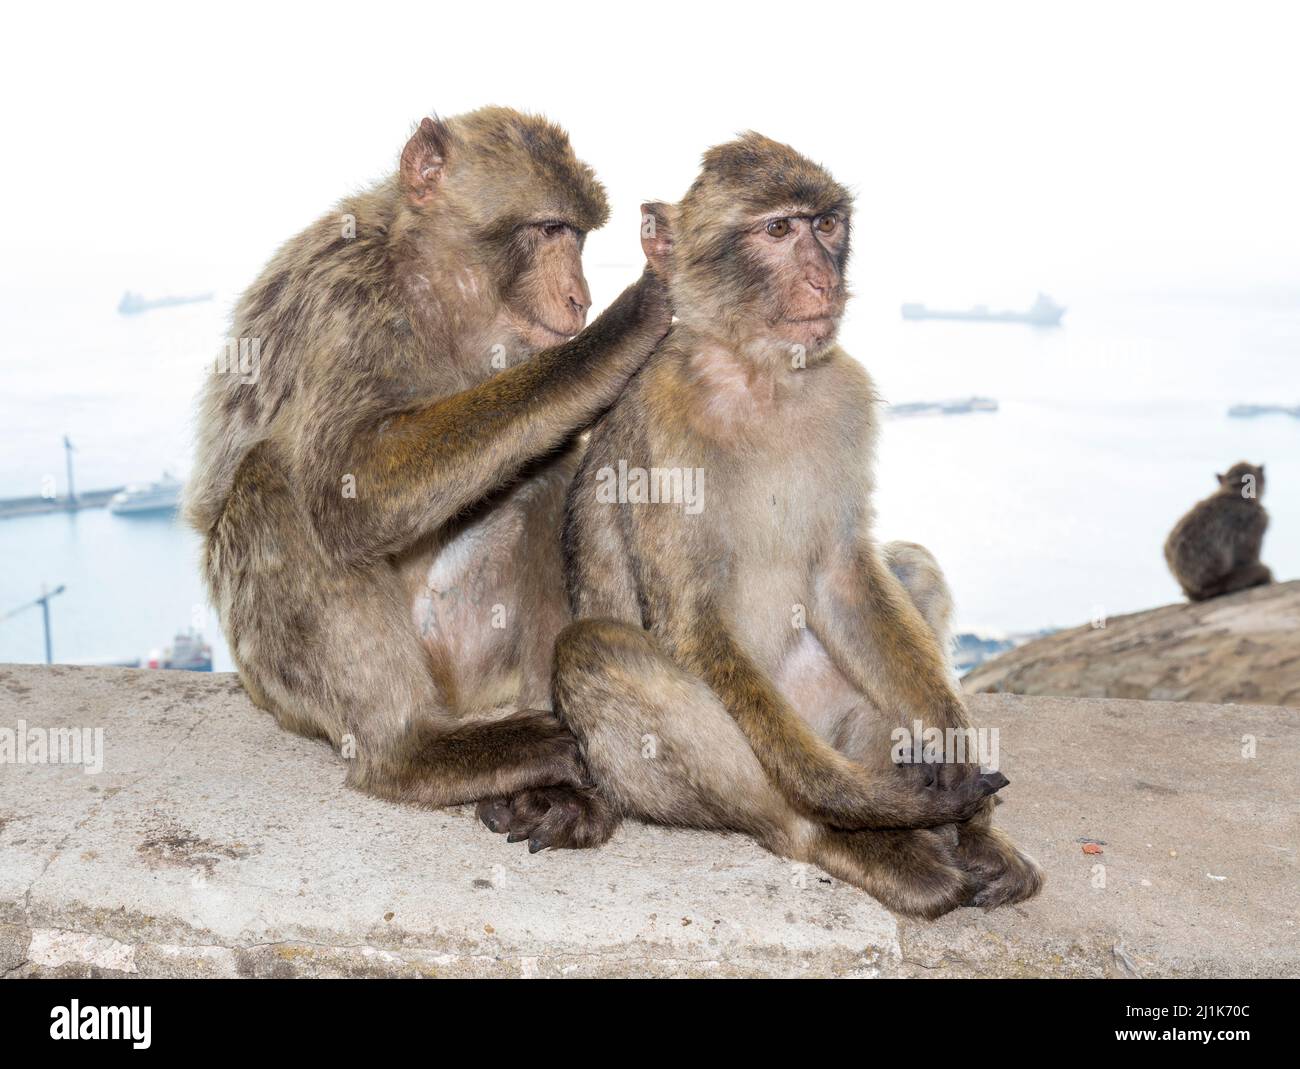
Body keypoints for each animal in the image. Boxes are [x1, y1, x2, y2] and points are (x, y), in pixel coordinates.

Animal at [184, 107, 670, 845]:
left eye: (579, 235)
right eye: (549, 230)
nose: (580, 297)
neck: (433, 295)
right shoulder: (351, 305)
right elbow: (347, 491)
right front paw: (620, 331)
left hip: (473, 657)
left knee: (545, 475)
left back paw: (561, 786)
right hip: (279, 679)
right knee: (274, 484)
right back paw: (410, 751)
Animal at [480, 133, 1044, 919]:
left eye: (826, 225)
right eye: (777, 230)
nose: (820, 279)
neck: (762, 377)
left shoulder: (843, 394)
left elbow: (844, 574)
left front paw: (962, 768)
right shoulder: (666, 428)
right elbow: (691, 621)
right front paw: (862, 805)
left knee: (912, 568)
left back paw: (967, 840)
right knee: (597, 650)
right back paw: (858, 835)